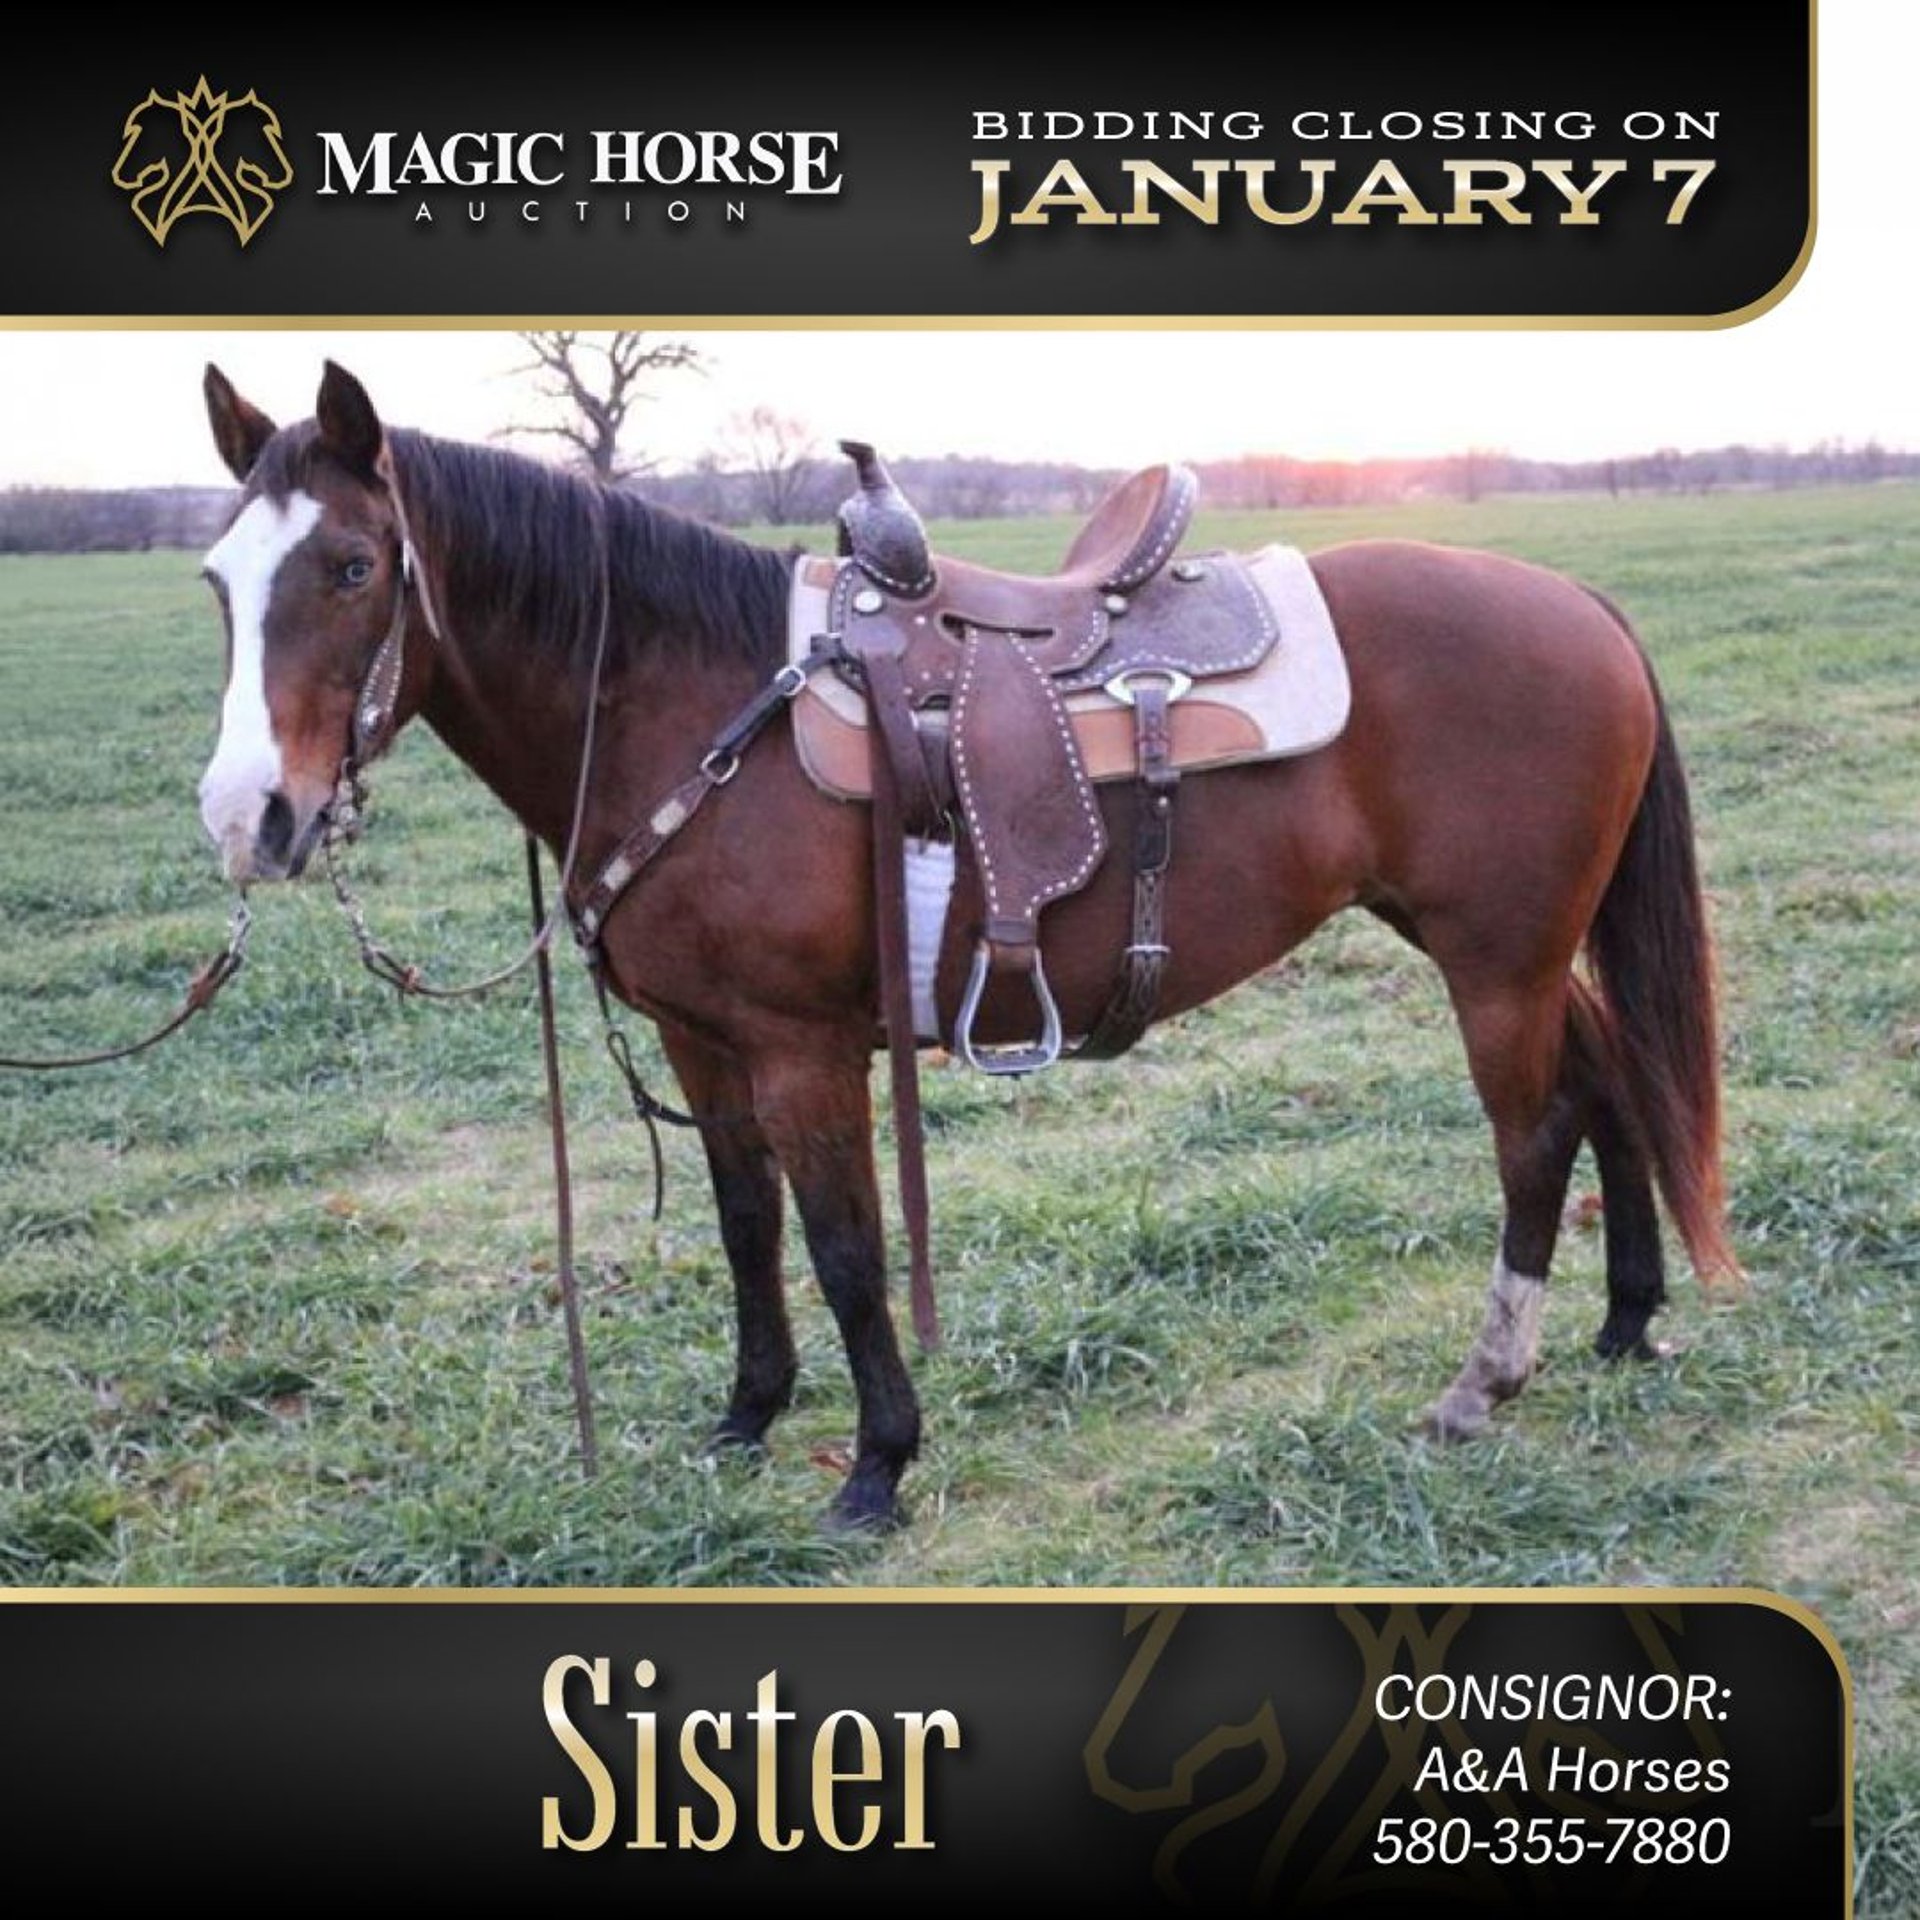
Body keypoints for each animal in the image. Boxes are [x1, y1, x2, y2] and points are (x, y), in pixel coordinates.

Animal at [195, 361, 1735, 1530]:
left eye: (352, 566)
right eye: (217, 581)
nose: (246, 816)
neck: (690, 705)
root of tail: (1578, 604)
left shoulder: (804, 1051)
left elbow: (844, 1248)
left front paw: (876, 1467)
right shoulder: (702, 1042)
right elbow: (748, 1227)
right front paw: (746, 1419)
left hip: (1495, 963)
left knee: (1536, 1135)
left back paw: (1488, 1379)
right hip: (1516, 951)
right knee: (1609, 1082)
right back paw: (1625, 1320)